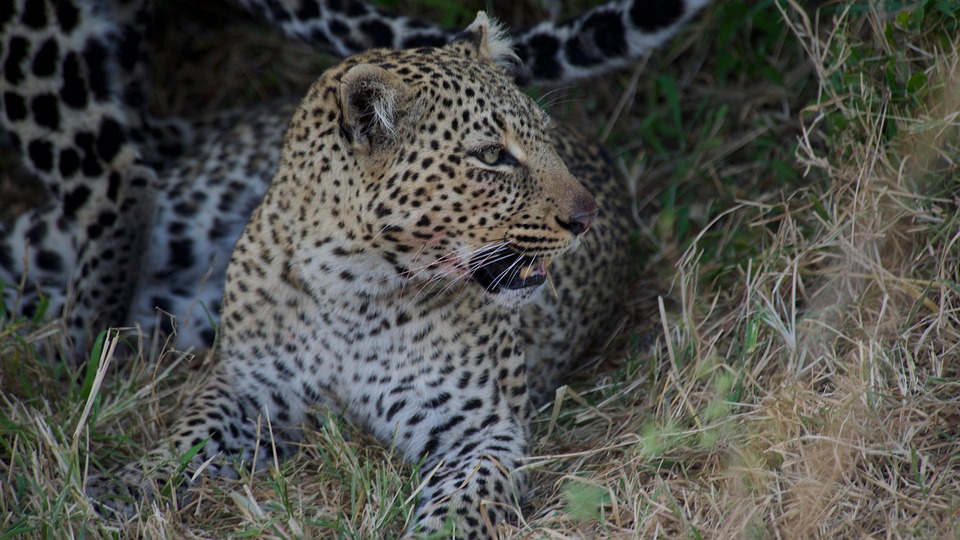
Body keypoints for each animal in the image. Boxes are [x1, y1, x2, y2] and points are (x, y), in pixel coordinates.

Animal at [89, 13, 638, 538]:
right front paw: (125, 486)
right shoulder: (246, 387)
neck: (350, 290)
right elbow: (187, 437)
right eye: (490, 155)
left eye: (547, 138)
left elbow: (461, 507)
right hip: (179, 211)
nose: (586, 216)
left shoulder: (484, 431)